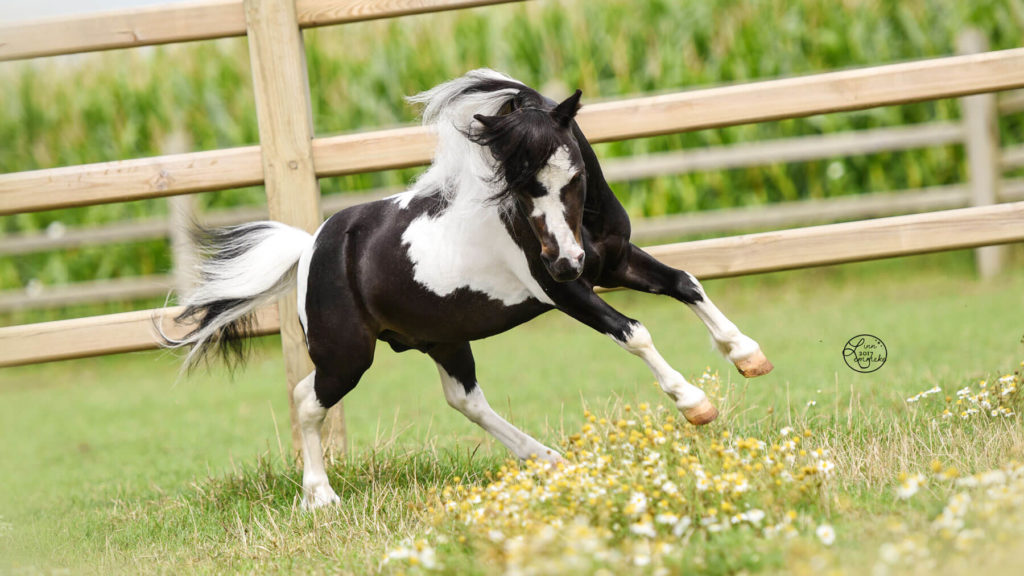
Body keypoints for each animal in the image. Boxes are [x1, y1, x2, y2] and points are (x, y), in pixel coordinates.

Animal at [161, 69, 773, 509]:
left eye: (572, 173)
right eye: (519, 186)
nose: (563, 261)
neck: (583, 233)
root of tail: (313, 245)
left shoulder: (615, 263)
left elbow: (685, 284)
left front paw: (749, 356)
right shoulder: (567, 295)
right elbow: (634, 332)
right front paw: (696, 405)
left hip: (444, 338)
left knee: (464, 399)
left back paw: (546, 457)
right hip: (347, 356)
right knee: (306, 399)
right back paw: (320, 497)